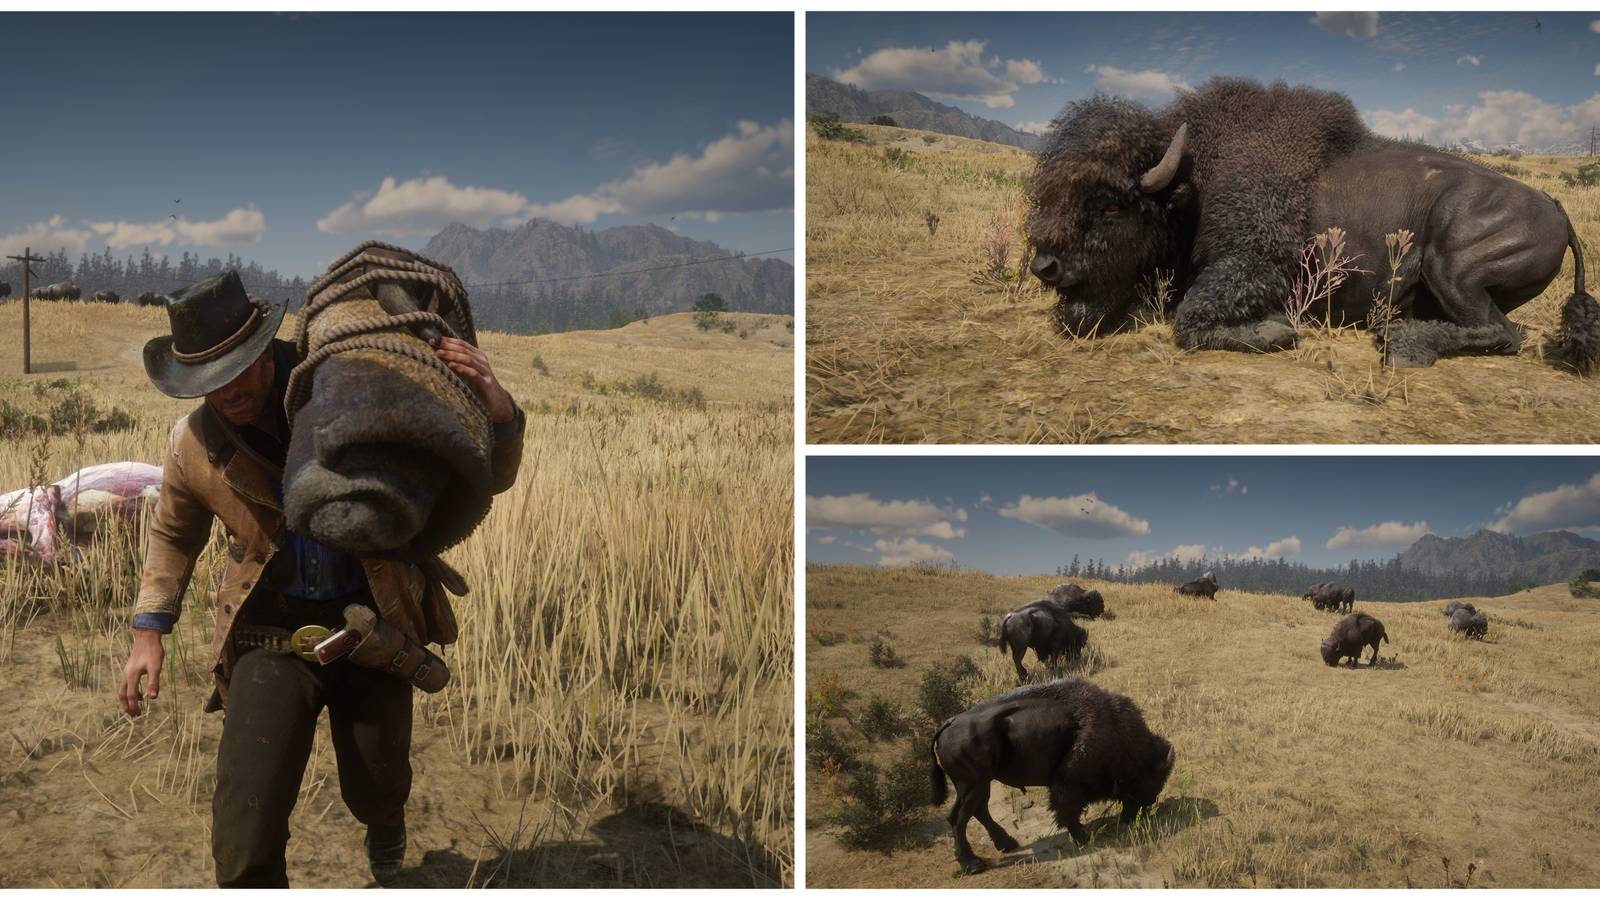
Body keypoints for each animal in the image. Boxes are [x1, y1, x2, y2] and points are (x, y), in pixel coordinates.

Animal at [929, 678, 1175, 874]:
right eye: (1148, 775)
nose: (1149, 802)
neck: (1116, 729)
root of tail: (948, 724)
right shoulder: (1067, 784)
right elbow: (1068, 811)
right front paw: (1083, 838)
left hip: (979, 785)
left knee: (978, 811)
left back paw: (1007, 844)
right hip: (973, 785)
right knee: (959, 818)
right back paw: (973, 864)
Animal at [1026, 78, 1600, 373]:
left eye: (1112, 206)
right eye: (1048, 192)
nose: (1044, 266)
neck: (1191, 179)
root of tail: (1555, 208)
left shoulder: (1253, 263)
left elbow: (1189, 320)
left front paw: (1277, 330)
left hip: (1453, 266)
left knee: (1505, 332)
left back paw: (1401, 342)